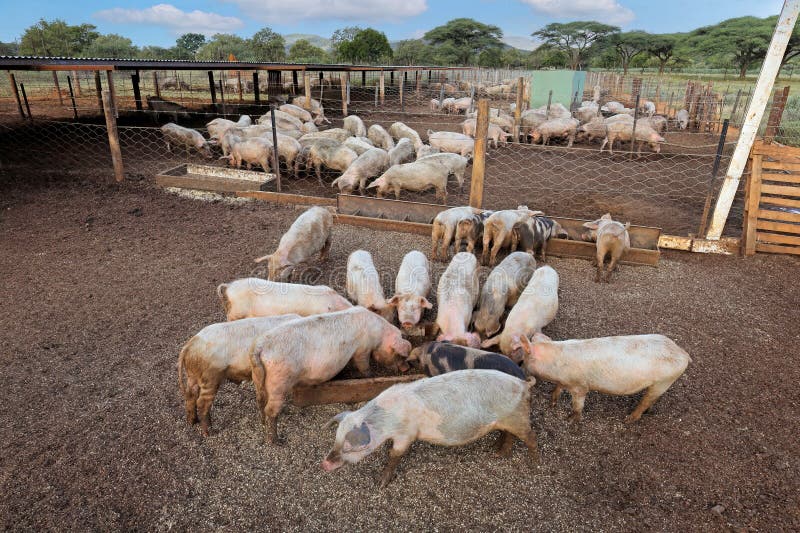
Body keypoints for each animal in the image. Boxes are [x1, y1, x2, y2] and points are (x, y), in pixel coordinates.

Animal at [251, 307, 412, 443]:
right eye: (400, 355)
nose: (406, 369)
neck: (378, 334)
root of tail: (260, 348)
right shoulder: (362, 349)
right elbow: (364, 366)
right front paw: (371, 375)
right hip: (279, 380)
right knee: (271, 409)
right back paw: (277, 441)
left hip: (259, 378)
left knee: (260, 400)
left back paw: (262, 422)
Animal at [322, 369, 539, 487]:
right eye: (336, 439)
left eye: (349, 447)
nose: (324, 463)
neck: (386, 420)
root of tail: (523, 384)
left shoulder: (406, 434)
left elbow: (395, 454)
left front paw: (380, 484)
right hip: (508, 419)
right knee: (508, 435)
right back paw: (496, 452)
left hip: (519, 418)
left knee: (531, 437)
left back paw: (532, 464)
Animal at [519, 333, 691, 423]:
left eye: (523, 359)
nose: (520, 369)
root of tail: (683, 353)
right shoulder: (564, 381)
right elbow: (558, 388)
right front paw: (552, 403)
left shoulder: (580, 386)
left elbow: (578, 404)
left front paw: (570, 419)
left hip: (665, 380)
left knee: (646, 400)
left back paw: (628, 419)